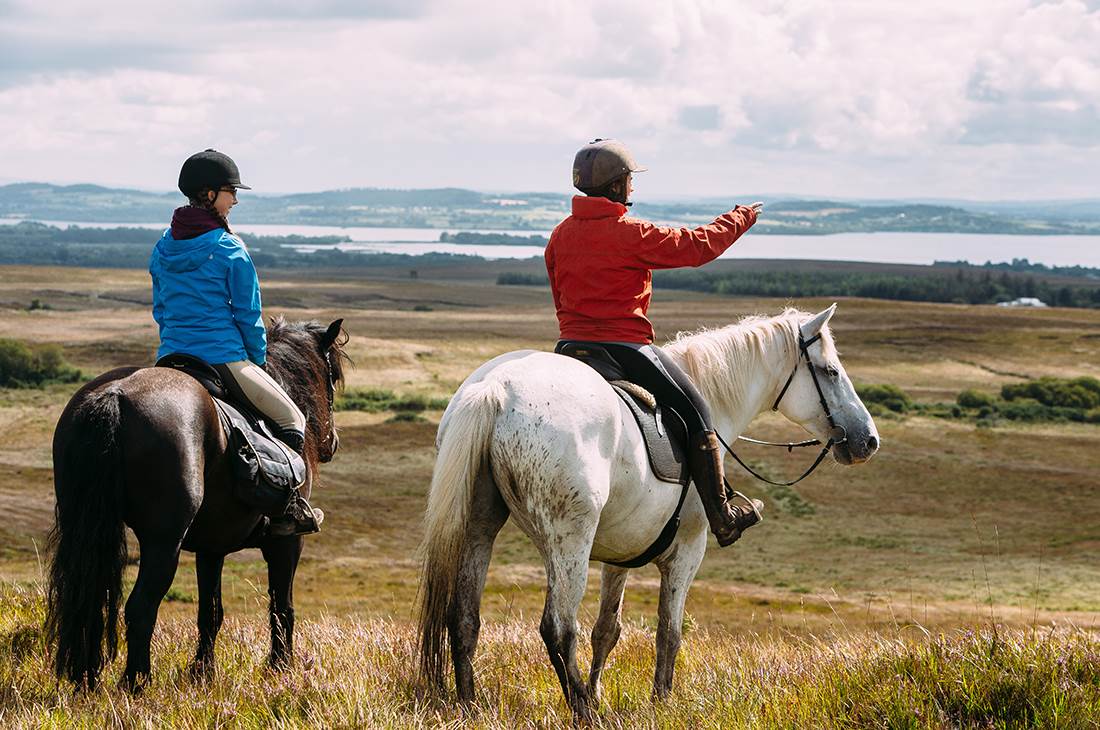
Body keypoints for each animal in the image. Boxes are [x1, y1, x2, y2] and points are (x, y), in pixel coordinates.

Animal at [45, 317, 348, 690]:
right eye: (332, 375)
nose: (331, 443)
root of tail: (114, 397)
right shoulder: (286, 541)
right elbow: (282, 606)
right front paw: (280, 668)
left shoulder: (211, 548)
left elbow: (211, 612)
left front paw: (203, 672)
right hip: (163, 543)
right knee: (140, 608)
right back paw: (135, 683)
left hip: (84, 525)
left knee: (85, 598)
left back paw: (86, 679)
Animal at [417, 305, 879, 721]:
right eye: (831, 372)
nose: (868, 440)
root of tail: (496, 390)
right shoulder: (687, 553)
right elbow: (668, 633)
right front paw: (661, 703)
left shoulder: (619, 555)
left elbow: (607, 630)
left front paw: (602, 691)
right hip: (569, 540)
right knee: (558, 628)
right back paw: (583, 712)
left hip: (479, 527)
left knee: (464, 617)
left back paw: (472, 705)